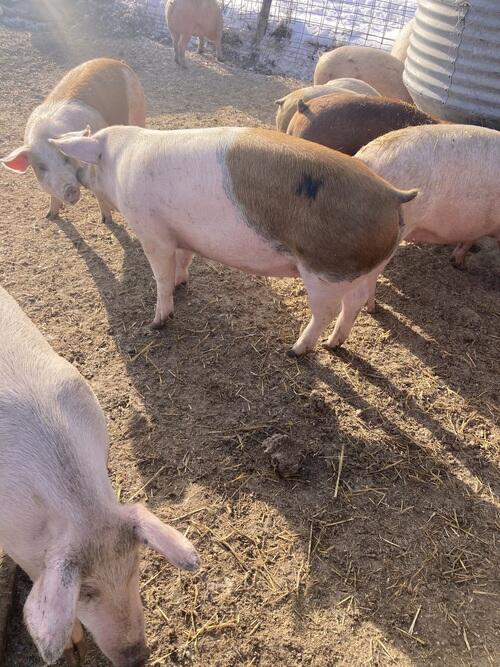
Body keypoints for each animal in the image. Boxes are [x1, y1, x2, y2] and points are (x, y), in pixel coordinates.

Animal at [0, 58, 145, 222]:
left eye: (66, 158)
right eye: (41, 167)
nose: (69, 189)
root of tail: (115, 61)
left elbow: (98, 190)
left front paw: (106, 220)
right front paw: (50, 216)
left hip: (137, 106)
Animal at [52, 126, 417, 355]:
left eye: (89, 161)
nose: (78, 178)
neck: (121, 162)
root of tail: (392, 194)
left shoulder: (154, 233)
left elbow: (160, 277)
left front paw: (156, 323)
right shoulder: (183, 234)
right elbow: (184, 261)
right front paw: (183, 284)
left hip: (326, 270)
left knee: (325, 311)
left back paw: (296, 350)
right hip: (368, 268)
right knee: (355, 302)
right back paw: (333, 345)